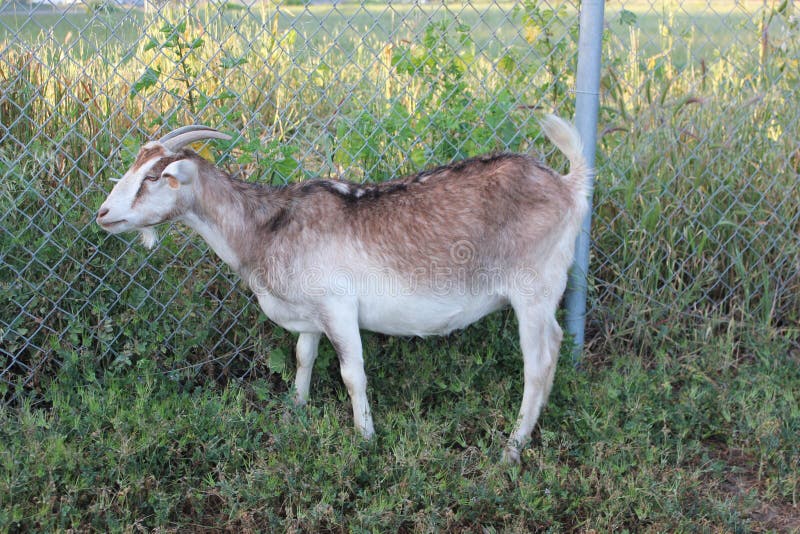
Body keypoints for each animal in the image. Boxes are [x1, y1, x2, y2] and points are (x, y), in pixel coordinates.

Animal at [96, 116, 590, 463]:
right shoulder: (311, 315)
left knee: (540, 359)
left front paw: (365, 439)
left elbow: (353, 375)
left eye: (153, 178)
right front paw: (294, 412)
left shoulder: (338, 307)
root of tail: (568, 185)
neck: (268, 228)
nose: (103, 214)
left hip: (533, 289)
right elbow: (303, 357)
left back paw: (511, 448)